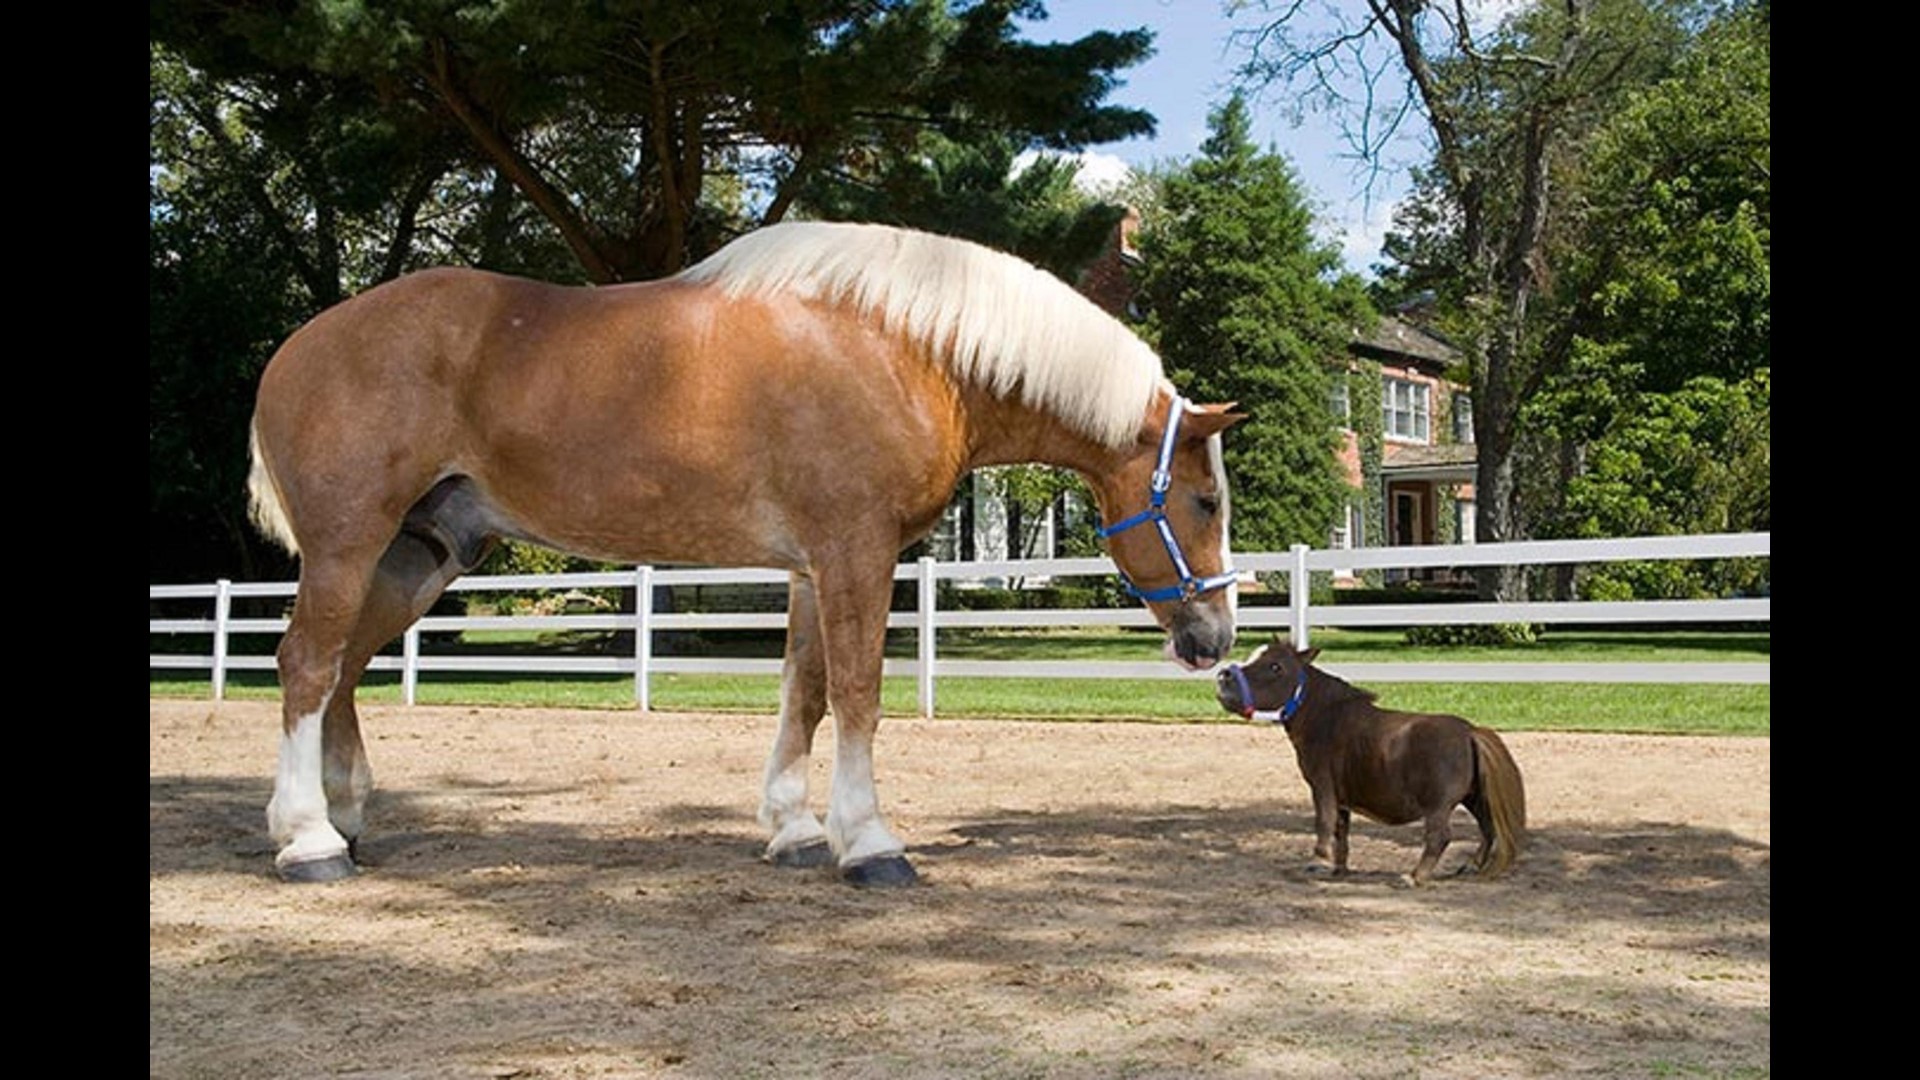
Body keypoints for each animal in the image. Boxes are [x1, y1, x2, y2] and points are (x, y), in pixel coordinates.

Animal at [245, 220, 1245, 888]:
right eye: (1204, 500)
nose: (1216, 638)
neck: (909, 352)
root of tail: (296, 349)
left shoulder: (812, 566)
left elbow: (804, 693)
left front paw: (796, 829)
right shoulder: (856, 552)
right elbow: (857, 693)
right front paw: (869, 842)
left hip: (424, 552)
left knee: (347, 664)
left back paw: (344, 816)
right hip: (347, 545)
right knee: (308, 662)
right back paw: (308, 842)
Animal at [1214, 636, 1526, 886]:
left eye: (1276, 666)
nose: (1224, 677)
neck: (1325, 718)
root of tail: (1471, 732)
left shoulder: (1322, 786)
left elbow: (1324, 822)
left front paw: (1319, 861)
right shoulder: (1341, 797)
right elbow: (1341, 831)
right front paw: (1338, 868)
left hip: (1438, 806)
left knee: (1440, 837)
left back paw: (1414, 876)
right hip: (1473, 797)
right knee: (1487, 827)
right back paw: (1471, 866)